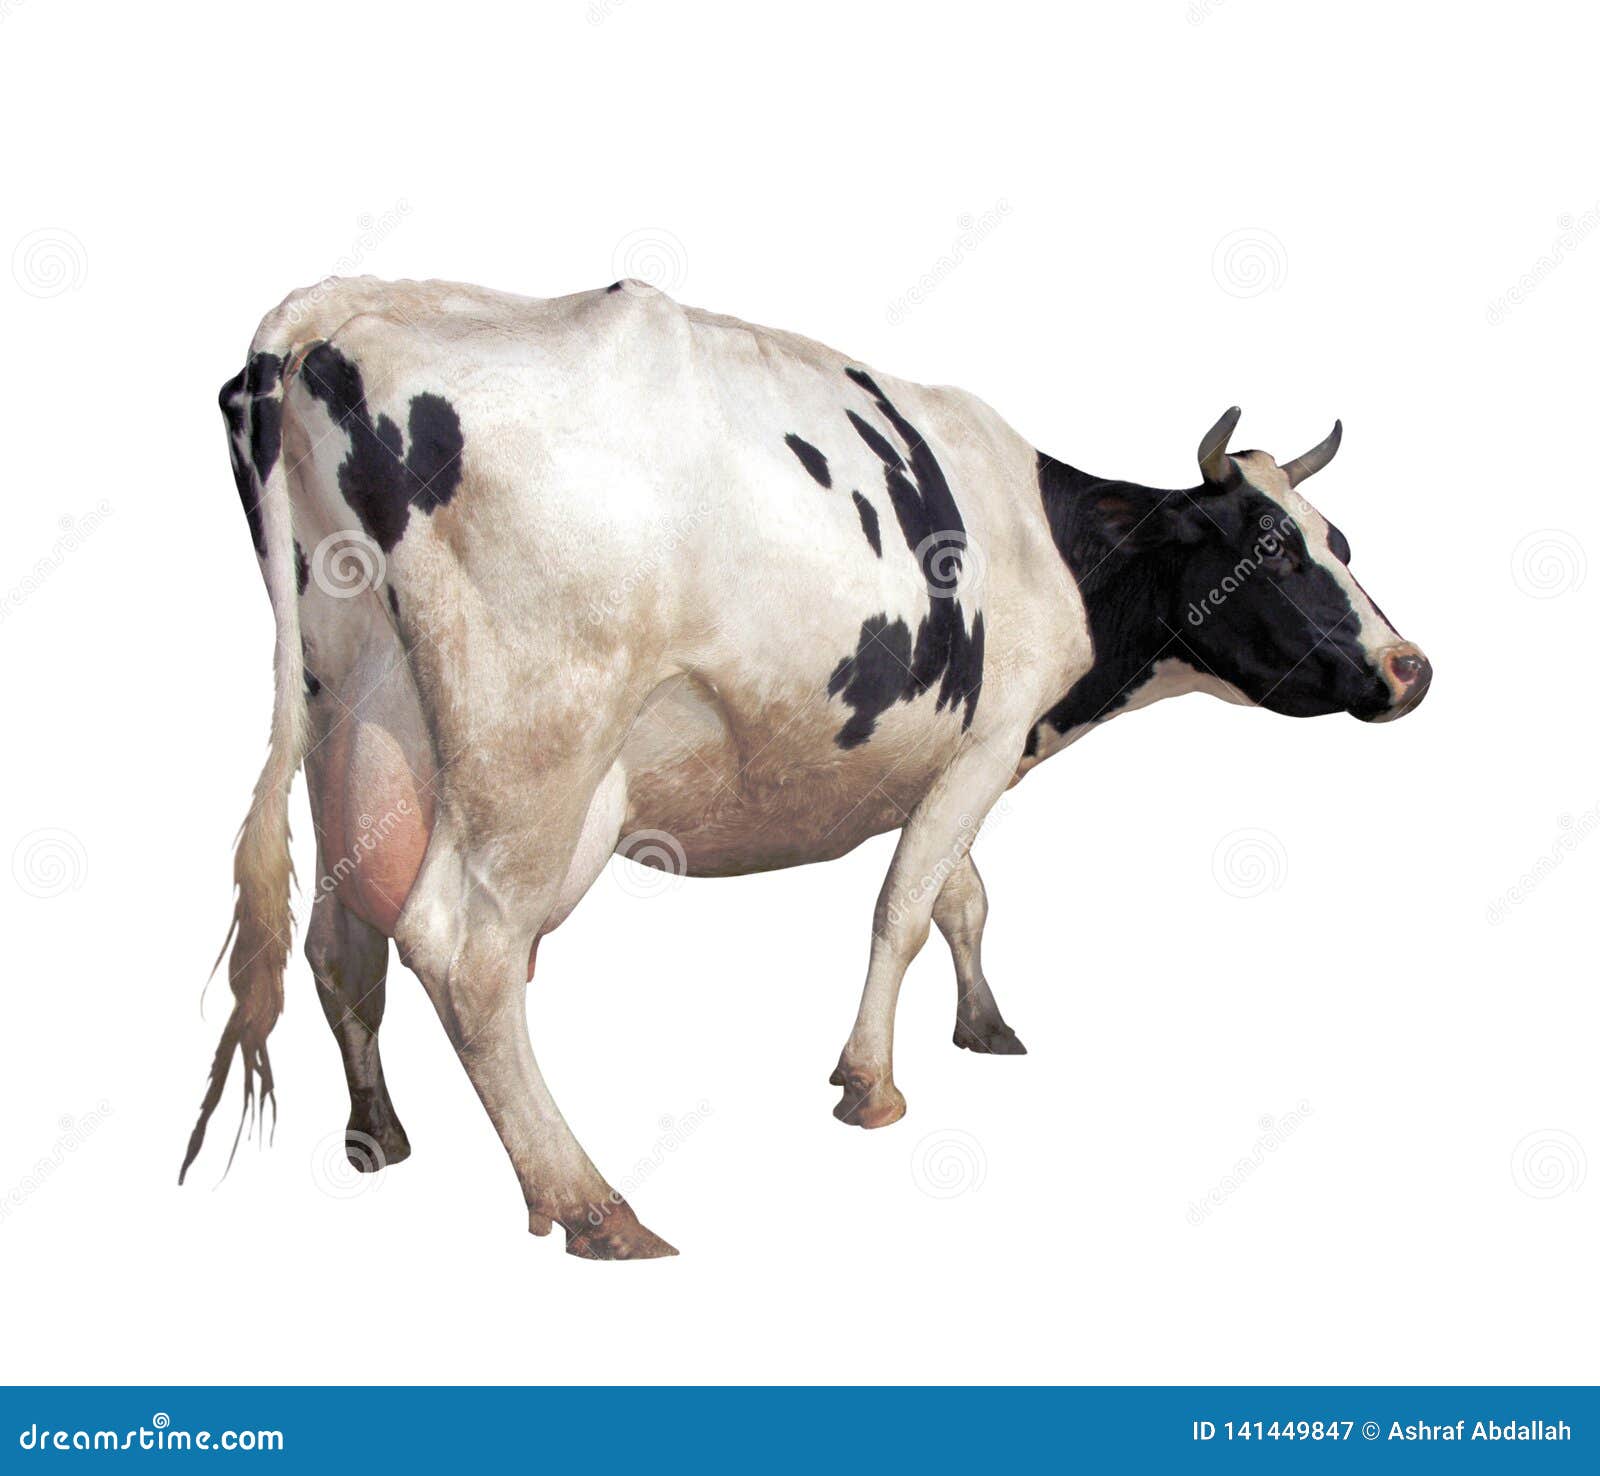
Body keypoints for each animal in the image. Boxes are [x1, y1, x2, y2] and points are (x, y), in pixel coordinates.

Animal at [185, 276, 1432, 1259]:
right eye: (1274, 550)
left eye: (1343, 541)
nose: (1410, 667)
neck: (1055, 543)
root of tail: (334, 310)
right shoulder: (987, 740)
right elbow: (903, 908)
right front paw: (869, 1083)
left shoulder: (943, 756)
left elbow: (961, 900)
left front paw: (986, 1026)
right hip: (535, 748)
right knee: (464, 948)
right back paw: (589, 1202)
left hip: (356, 726)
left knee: (343, 935)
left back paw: (378, 1134)